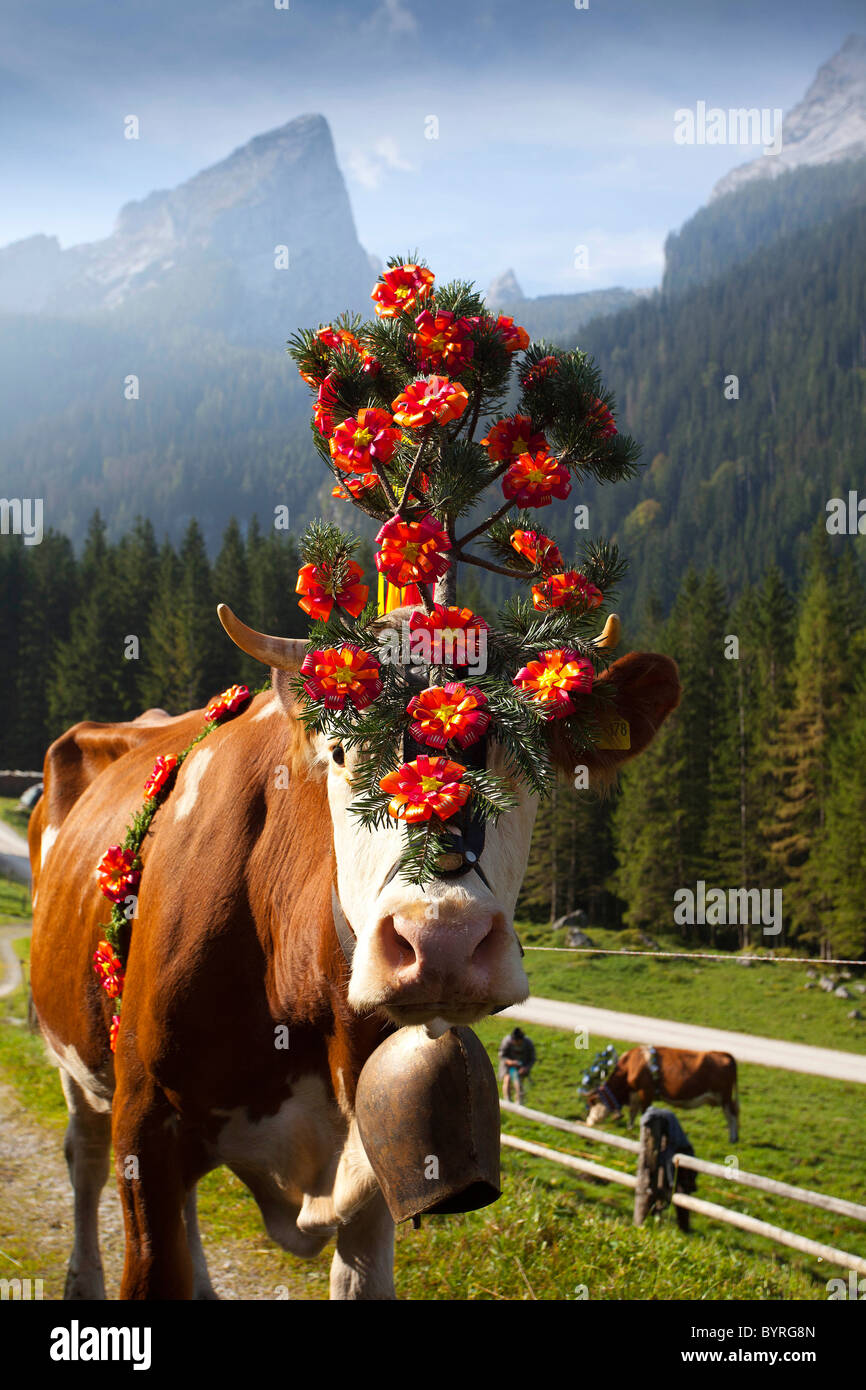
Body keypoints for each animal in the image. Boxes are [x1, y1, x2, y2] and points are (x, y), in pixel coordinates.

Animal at [27, 608, 681, 1301]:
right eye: (342, 754)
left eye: (530, 766)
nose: (442, 940)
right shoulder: (145, 1124)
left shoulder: (377, 1162)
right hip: (76, 1057)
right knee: (84, 1158)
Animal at [583, 1045, 739, 1139]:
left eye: (592, 1103)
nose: (588, 1122)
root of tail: (723, 1054)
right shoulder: (635, 1095)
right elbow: (633, 1112)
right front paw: (629, 1128)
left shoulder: (646, 1092)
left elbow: (644, 1113)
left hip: (725, 1096)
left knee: (732, 1113)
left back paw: (733, 1138)